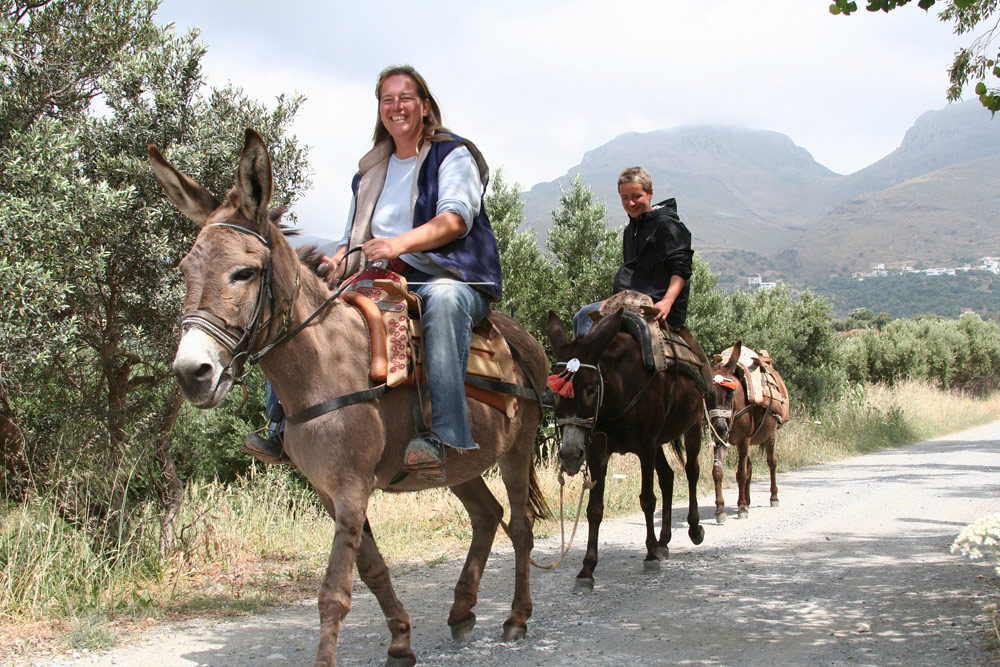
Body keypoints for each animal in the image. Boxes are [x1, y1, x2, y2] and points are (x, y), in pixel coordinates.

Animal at [151, 129, 550, 667]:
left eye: (244, 273)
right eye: (184, 268)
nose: (192, 372)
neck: (324, 366)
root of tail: (522, 339)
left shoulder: (352, 486)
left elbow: (334, 592)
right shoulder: (328, 491)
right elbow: (372, 570)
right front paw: (401, 641)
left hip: (518, 449)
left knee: (522, 527)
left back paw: (516, 618)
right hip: (458, 461)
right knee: (487, 516)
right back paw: (462, 611)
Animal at [545, 308, 705, 592]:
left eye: (591, 389)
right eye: (554, 392)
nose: (570, 456)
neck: (618, 390)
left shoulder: (645, 447)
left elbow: (647, 500)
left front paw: (650, 555)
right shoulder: (598, 450)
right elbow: (594, 509)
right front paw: (586, 570)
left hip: (692, 427)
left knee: (691, 472)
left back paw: (693, 530)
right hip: (659, 442)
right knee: (668, 477)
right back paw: (664, 541)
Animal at [708, 340, 784, 522]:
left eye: (730, 393)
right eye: (707, 394)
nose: (720, 427)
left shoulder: (743, 441)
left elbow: (741, 473)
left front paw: (742, 508)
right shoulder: (720, 440)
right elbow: (717, 471)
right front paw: (720, 510)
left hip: (770, 436)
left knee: (772, 462)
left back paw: (773, 497)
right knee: (749, 467)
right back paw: (748, 501)